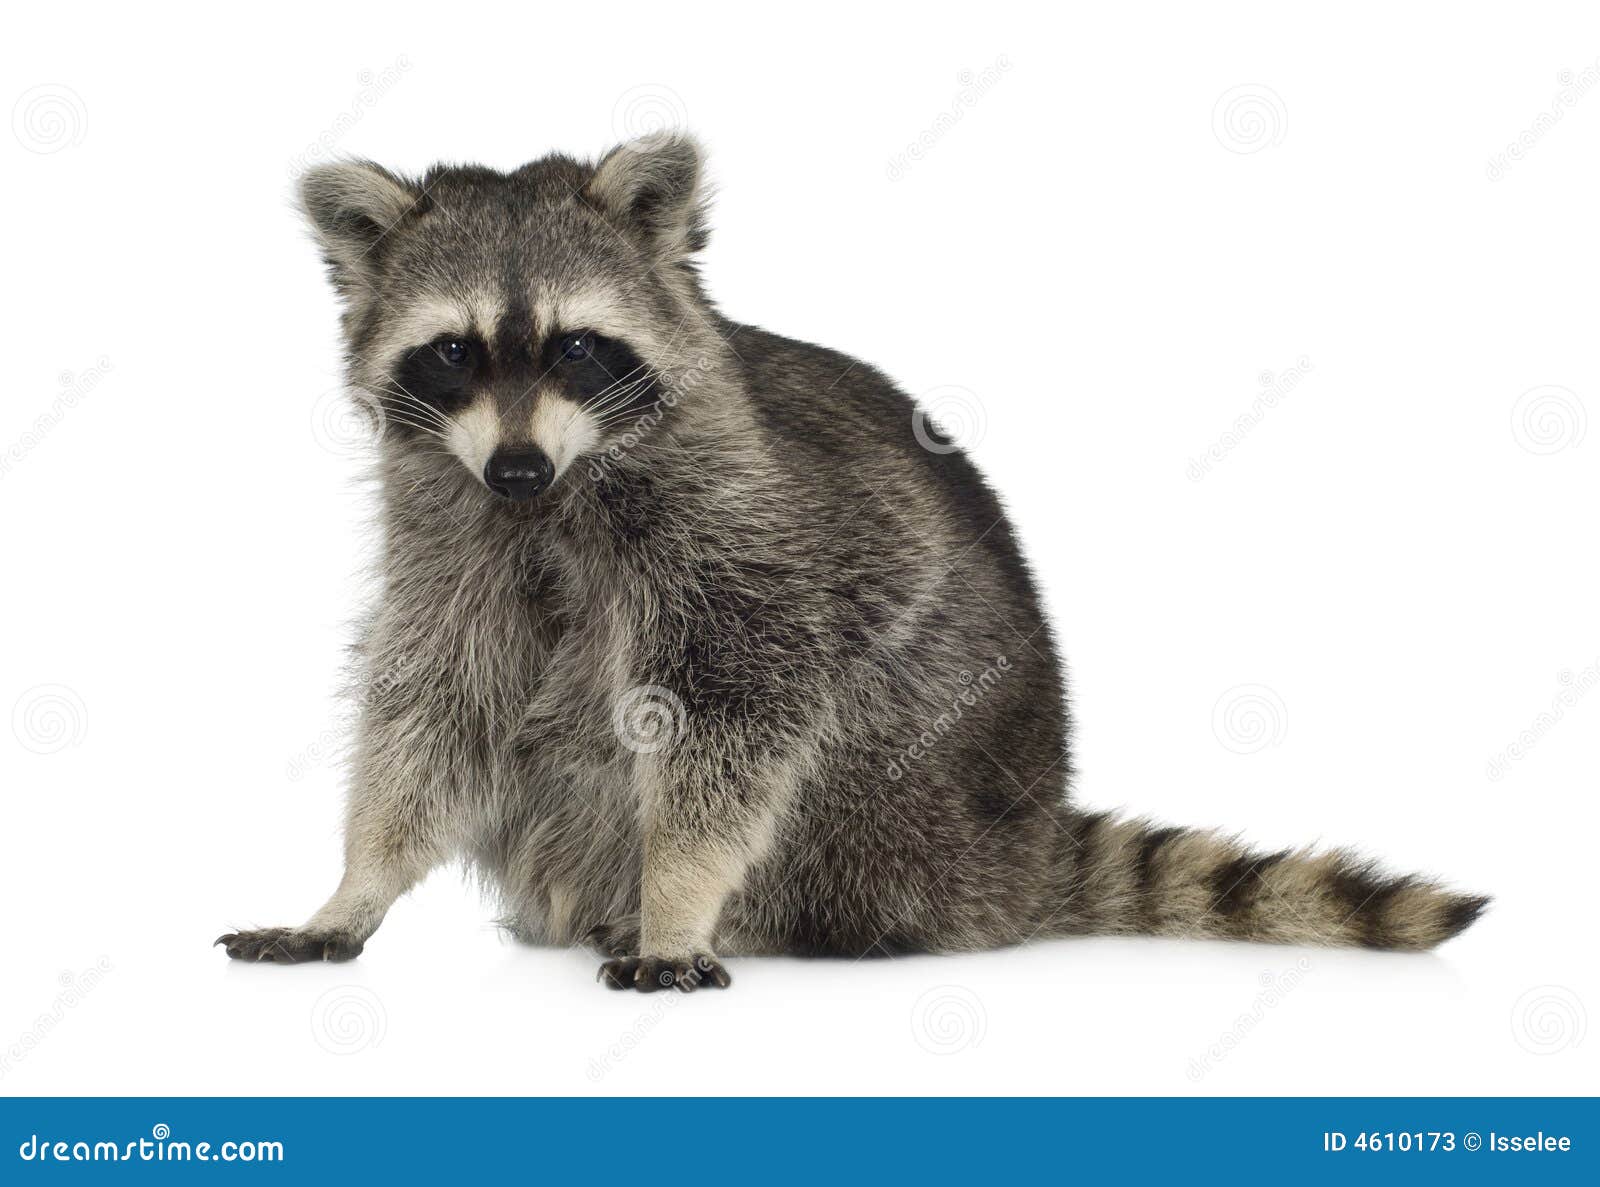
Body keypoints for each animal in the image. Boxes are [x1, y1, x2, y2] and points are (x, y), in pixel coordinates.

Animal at [217, 135, 1487, 990]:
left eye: (577, 347)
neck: (554, 493)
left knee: (841, 770)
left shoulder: (745, 538)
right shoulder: (451, 529)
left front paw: (680, 898)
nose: (520, 465)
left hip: (912, 805)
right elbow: (435, 705)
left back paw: (760, 916)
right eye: (454, 352)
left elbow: (735, 715)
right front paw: (354, 883)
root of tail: (1019, 847)